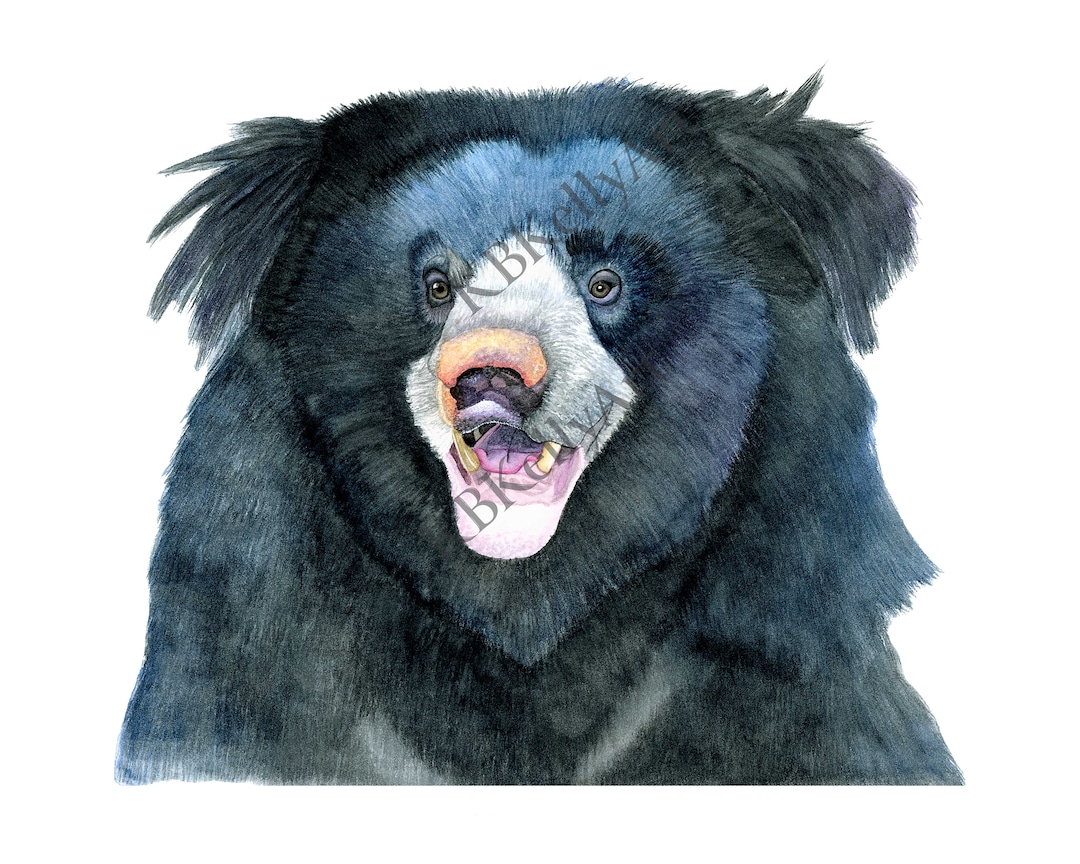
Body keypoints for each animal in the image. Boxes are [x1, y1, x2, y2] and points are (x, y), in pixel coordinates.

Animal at [116, 74, 962, 784]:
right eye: (437, 285)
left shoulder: (788, 637)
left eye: (605, 283)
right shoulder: (253, 623)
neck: (528, 597)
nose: (490, 378)